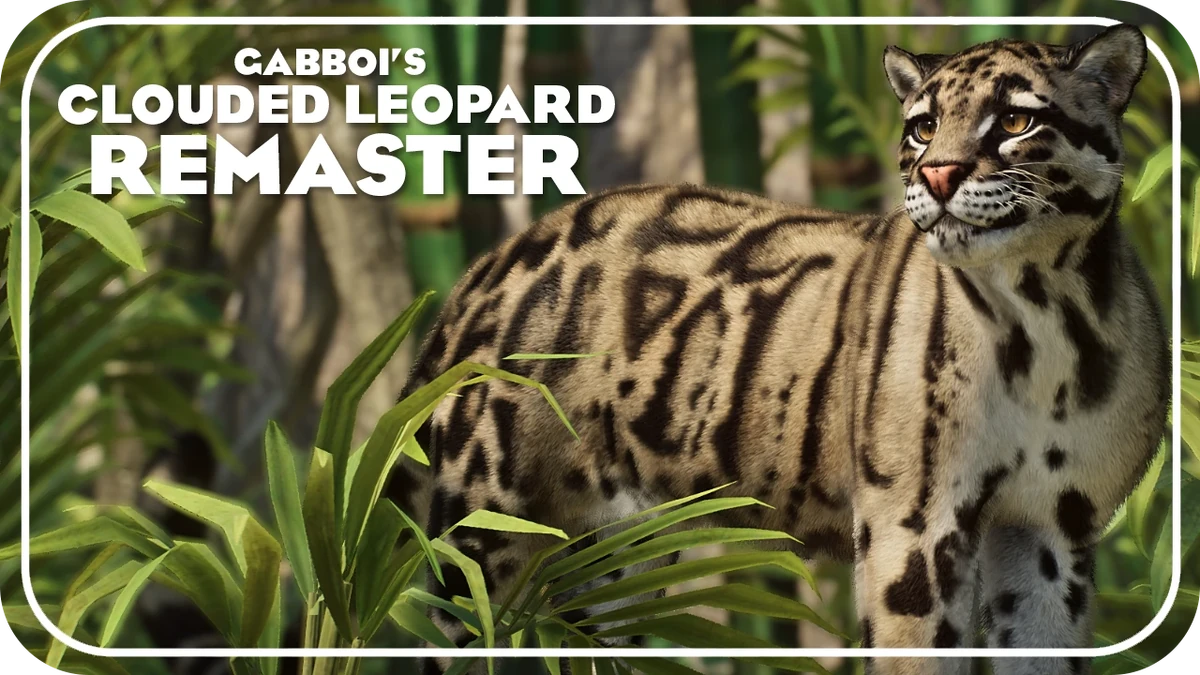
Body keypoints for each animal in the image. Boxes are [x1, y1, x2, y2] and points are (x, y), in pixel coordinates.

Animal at [386, 23, 1171, 675]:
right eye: (923, 128)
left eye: (1014, 120)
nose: (938, 175)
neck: (1045, 317)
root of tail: (485, 267)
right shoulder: (915, 525)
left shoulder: (1052, 528)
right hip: (483, 542)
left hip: (615, 561)